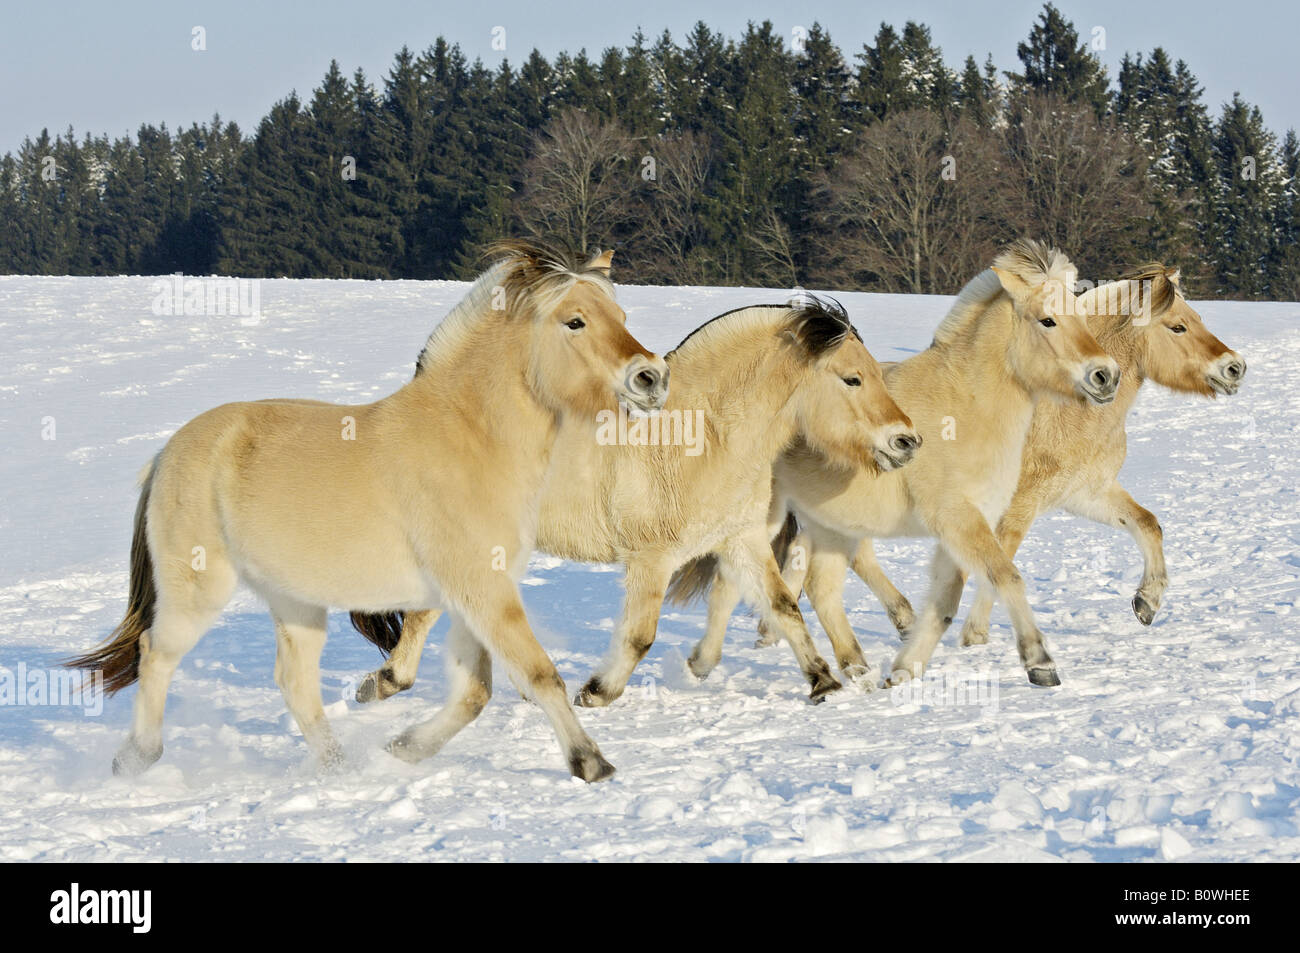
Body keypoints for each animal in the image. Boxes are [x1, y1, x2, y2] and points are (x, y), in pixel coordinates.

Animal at [66, 241, 668, 783]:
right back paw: (136, 759)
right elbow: (539, 675)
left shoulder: (474, 596)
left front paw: (403, 747)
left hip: (296, 602)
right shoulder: (484, 591)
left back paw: (340, 767)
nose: (651, 378)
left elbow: (474, 693)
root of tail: (165, 454)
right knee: (156, 654)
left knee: (294, 681)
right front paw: (591, 763)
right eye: (575, 322)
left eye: (622, 317)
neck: (473, 437)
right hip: (198, 590)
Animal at [349, 296, 921, 713]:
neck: (701, 436)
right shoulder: (653, 558)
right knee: (427, 609)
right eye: (851, 378)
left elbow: (784, 607)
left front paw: (824, 682)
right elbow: (641, 635)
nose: (907, 441)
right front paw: (597, 692)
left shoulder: (742, 539)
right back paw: (384, 682)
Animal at [669, 239, 1121, 688]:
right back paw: (704, 664)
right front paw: (1040, 663)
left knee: (819, 589)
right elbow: (1005, 576)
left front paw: (904, 670)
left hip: (827, 525)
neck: (964, 406)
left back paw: (854, 667)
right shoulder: (957, 518)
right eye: (1048, 321)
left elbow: (945, 602)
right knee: (730, 584)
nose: (1106, 375)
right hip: (767, 518)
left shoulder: (964, 525)